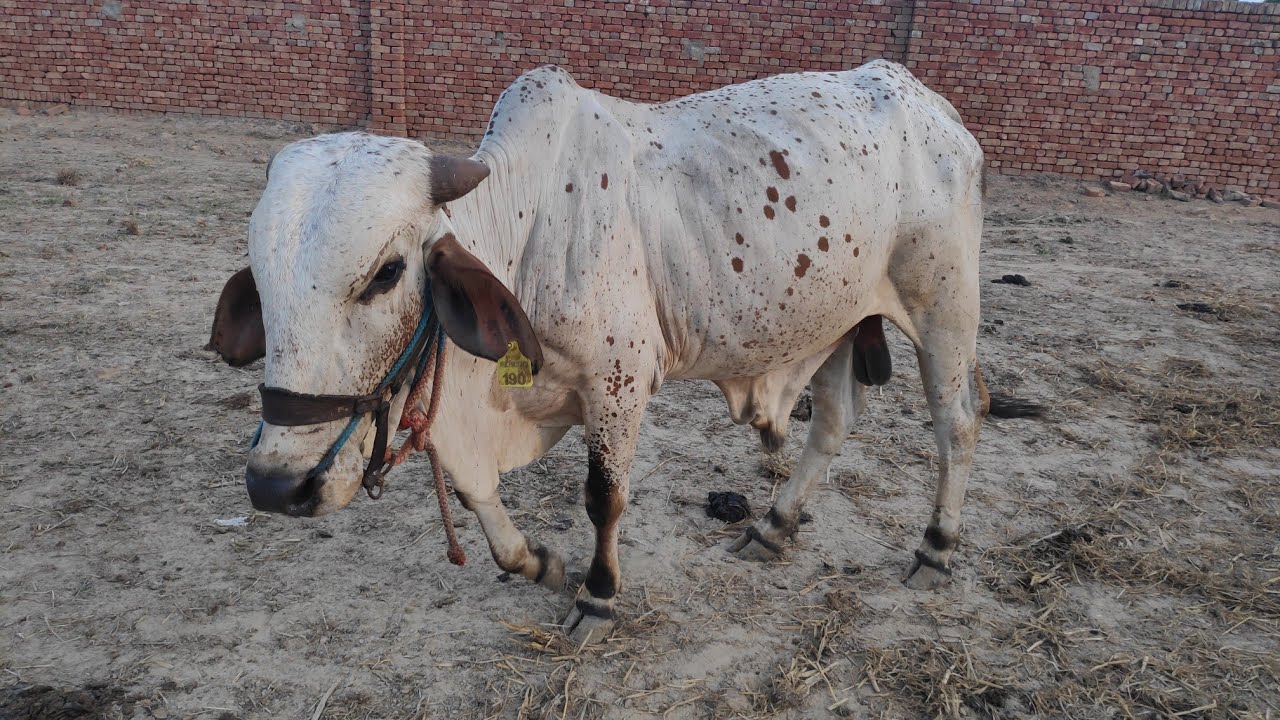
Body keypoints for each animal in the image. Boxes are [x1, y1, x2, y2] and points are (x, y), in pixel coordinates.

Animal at [210, 60, 995, 644]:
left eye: (385, 273)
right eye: (264, 283)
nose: (277, 487)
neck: (525, 232)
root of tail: (933, 106)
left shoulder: (617, 383)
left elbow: (603, 498)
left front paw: (596, 595)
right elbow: (476, 496)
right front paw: (539, 563)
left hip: (943, 308)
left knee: (957, 423)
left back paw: (936, 546)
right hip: (832, 322)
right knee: (831, 426)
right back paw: (772, 528)